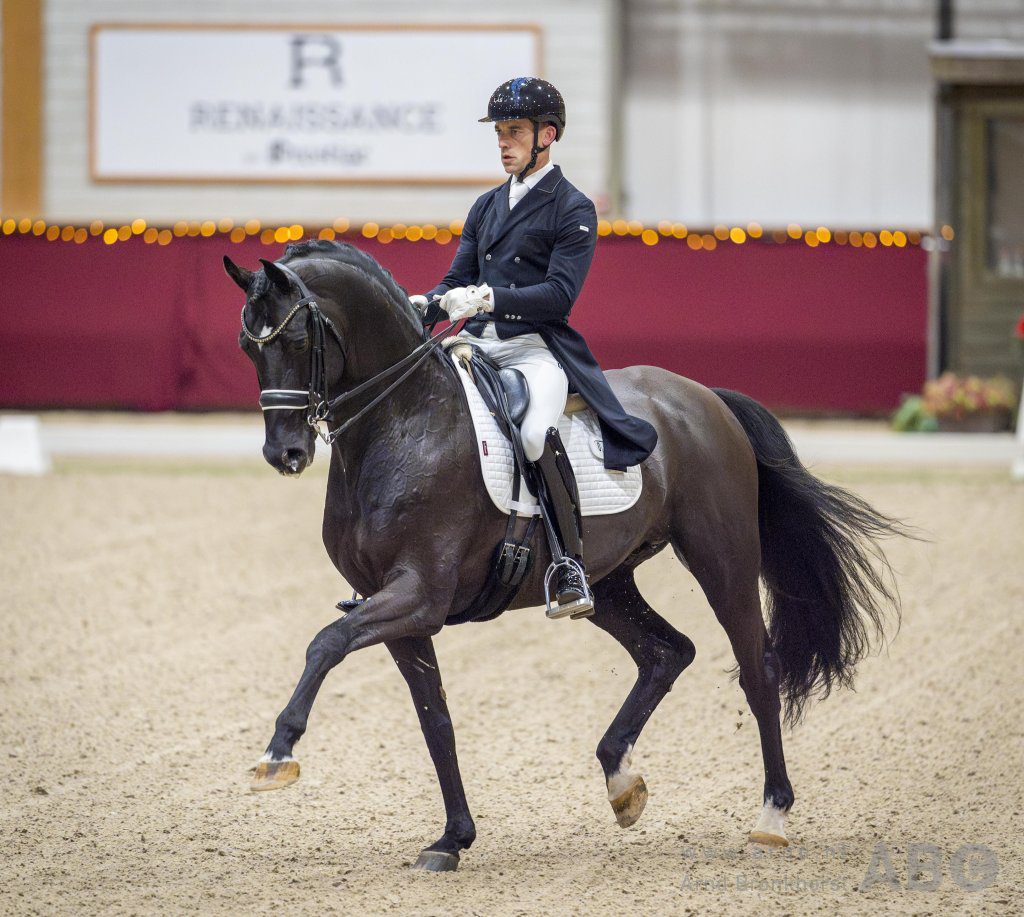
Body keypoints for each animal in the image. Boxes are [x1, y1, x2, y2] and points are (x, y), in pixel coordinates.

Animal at [223, 239, 903, 872]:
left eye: (297, 337)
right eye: (248, 348)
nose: (285, 454)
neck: (402, 423)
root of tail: (702, 396)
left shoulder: (419, 594)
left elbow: (326, 643)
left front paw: (277, 753)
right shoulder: (399, 610)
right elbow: (434, 719)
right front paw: (452, 839)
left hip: (722, 557)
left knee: (757, 667)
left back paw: (772, 815)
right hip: (610, 580)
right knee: (666, 652)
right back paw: (622, 780)